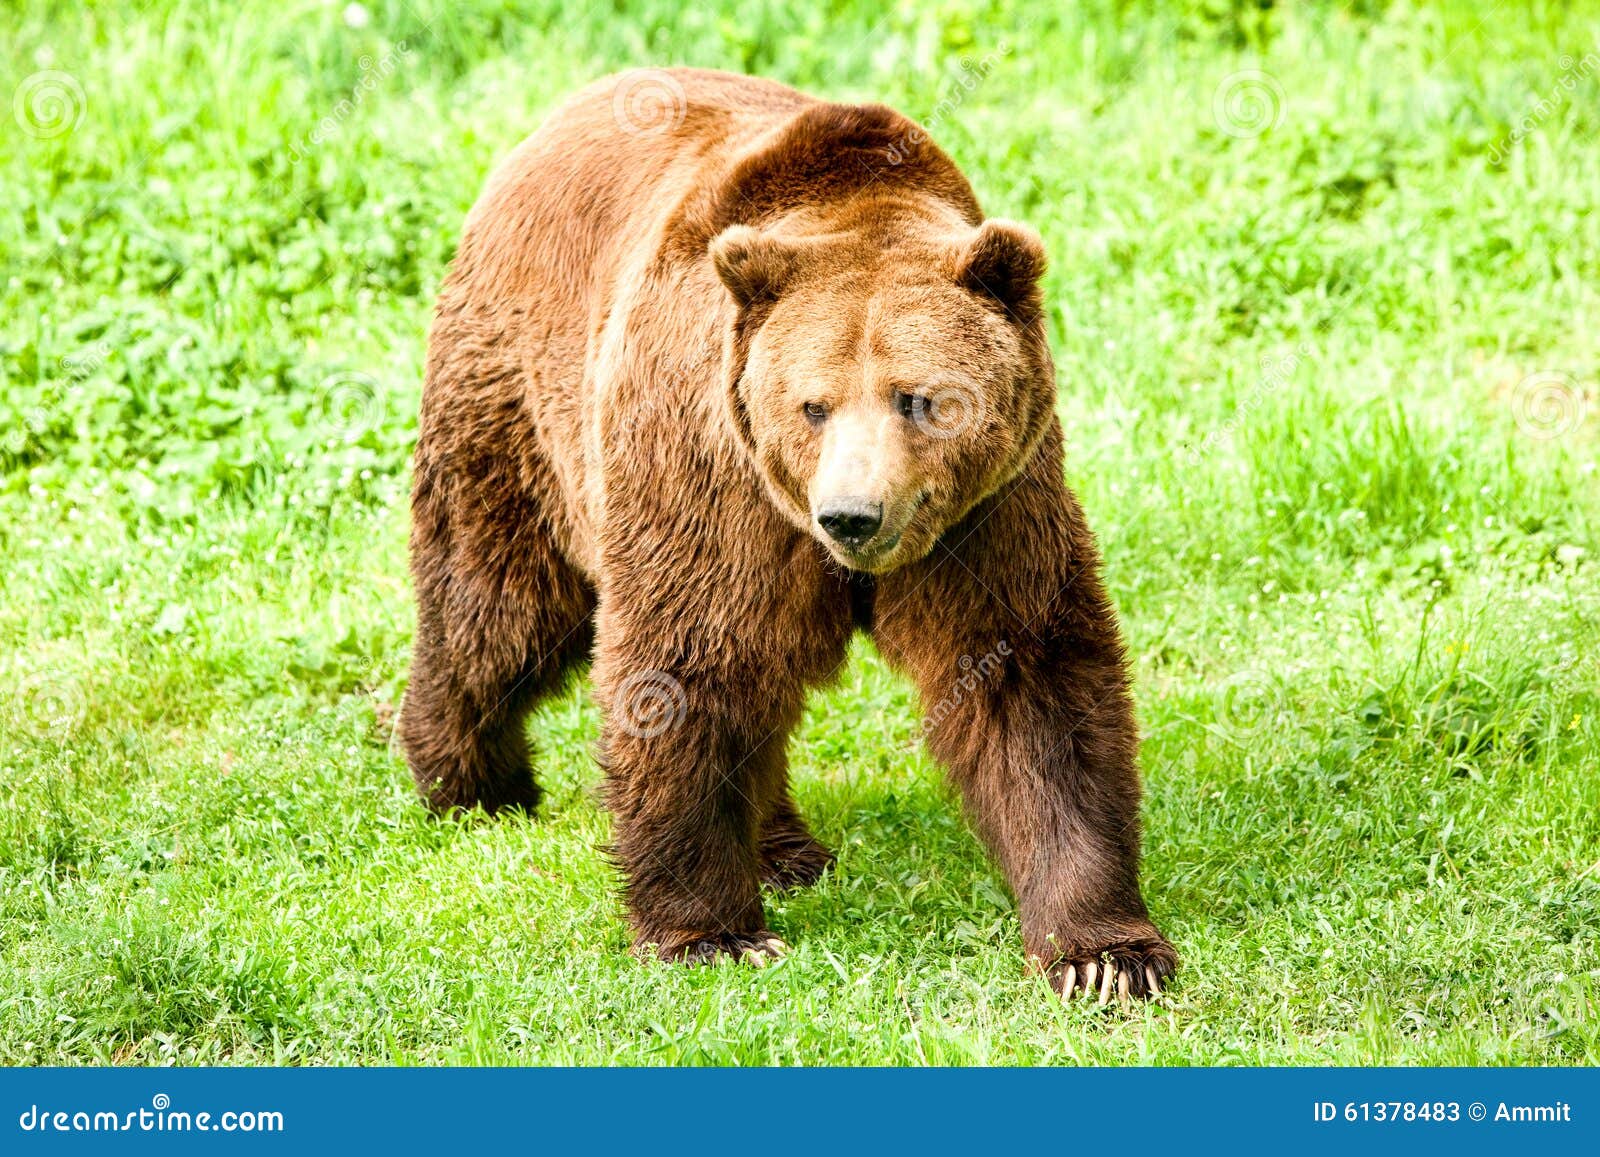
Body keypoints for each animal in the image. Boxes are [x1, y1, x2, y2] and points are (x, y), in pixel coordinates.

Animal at [401, 68, 1177, 1001]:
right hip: (524, 408)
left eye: (919, 397)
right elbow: (687, 662)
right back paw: (471, 783)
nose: (851, 514)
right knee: (497, 603)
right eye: (814, 403)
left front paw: (1105, 954)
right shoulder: (714, 469)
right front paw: (712, 933)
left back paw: (783, 849)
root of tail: (562, 113)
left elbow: (1029, 677)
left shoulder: (989, 511)